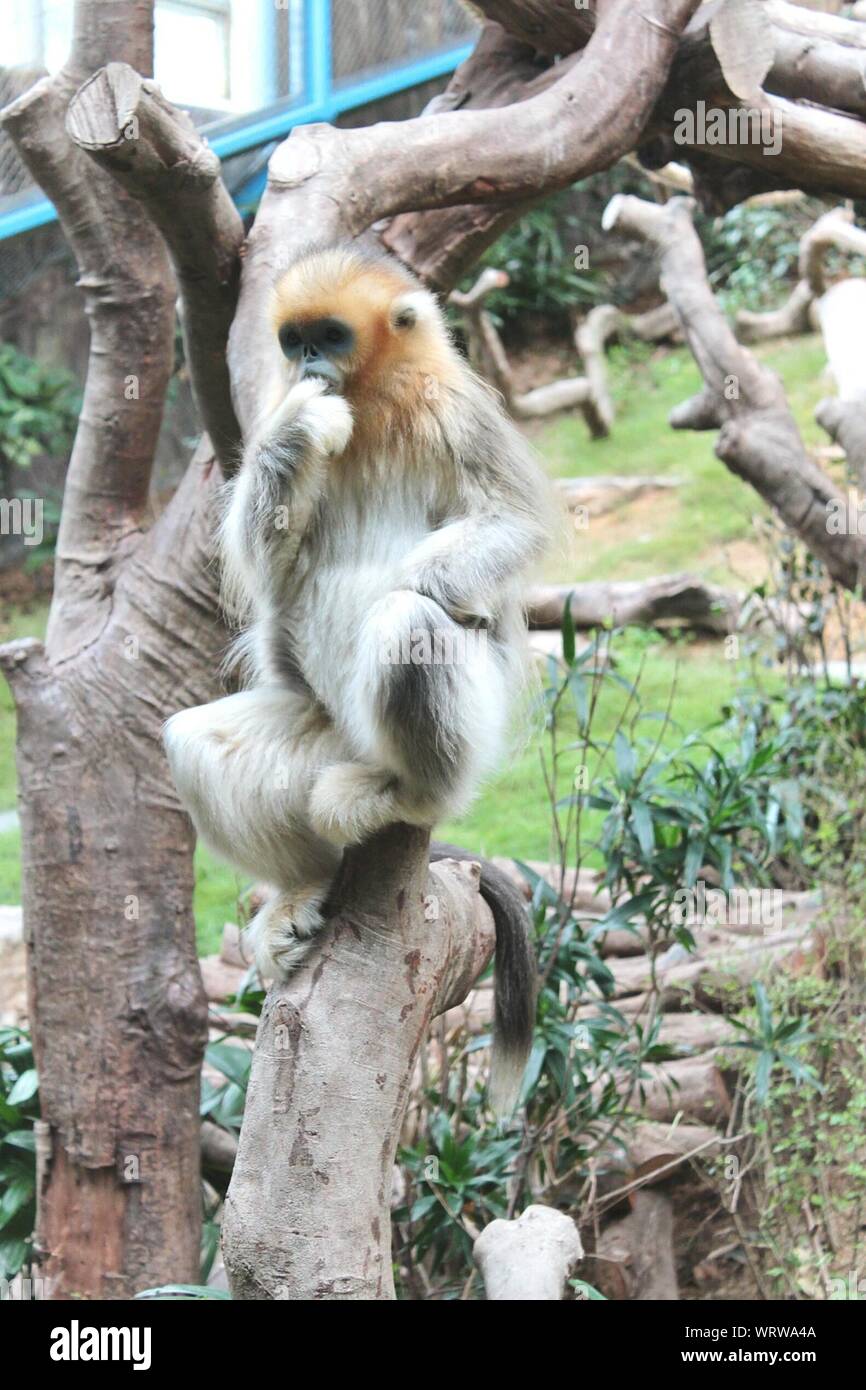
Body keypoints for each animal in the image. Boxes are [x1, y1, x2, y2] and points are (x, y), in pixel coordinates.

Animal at [163, 245, 557, 1112]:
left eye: (333, 336)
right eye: (295, 339)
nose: (310, 363)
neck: (373, 405)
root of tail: (357, 749)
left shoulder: (456, 408)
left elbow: (513, 524)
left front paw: (425, 582)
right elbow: (266, 565)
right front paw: (297, 432)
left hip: (452, 723)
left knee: (409, 624)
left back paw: (412, 792)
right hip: (318, 740)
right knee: (190, 740)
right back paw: (301, 892)